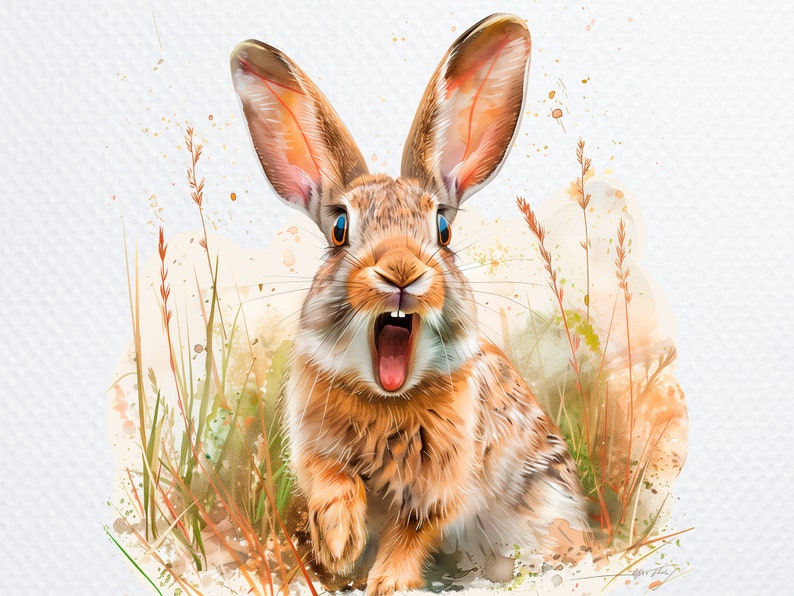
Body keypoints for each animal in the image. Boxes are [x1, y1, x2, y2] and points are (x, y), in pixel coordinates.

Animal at [231, 13, 589, 595]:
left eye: (442, 229)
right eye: (339, 228)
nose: (401, 271)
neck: (386, 399)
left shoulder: (444, 487)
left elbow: (412, 534)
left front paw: (386, 582)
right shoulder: (313, 449)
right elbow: (332, 482)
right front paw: (339, 541)